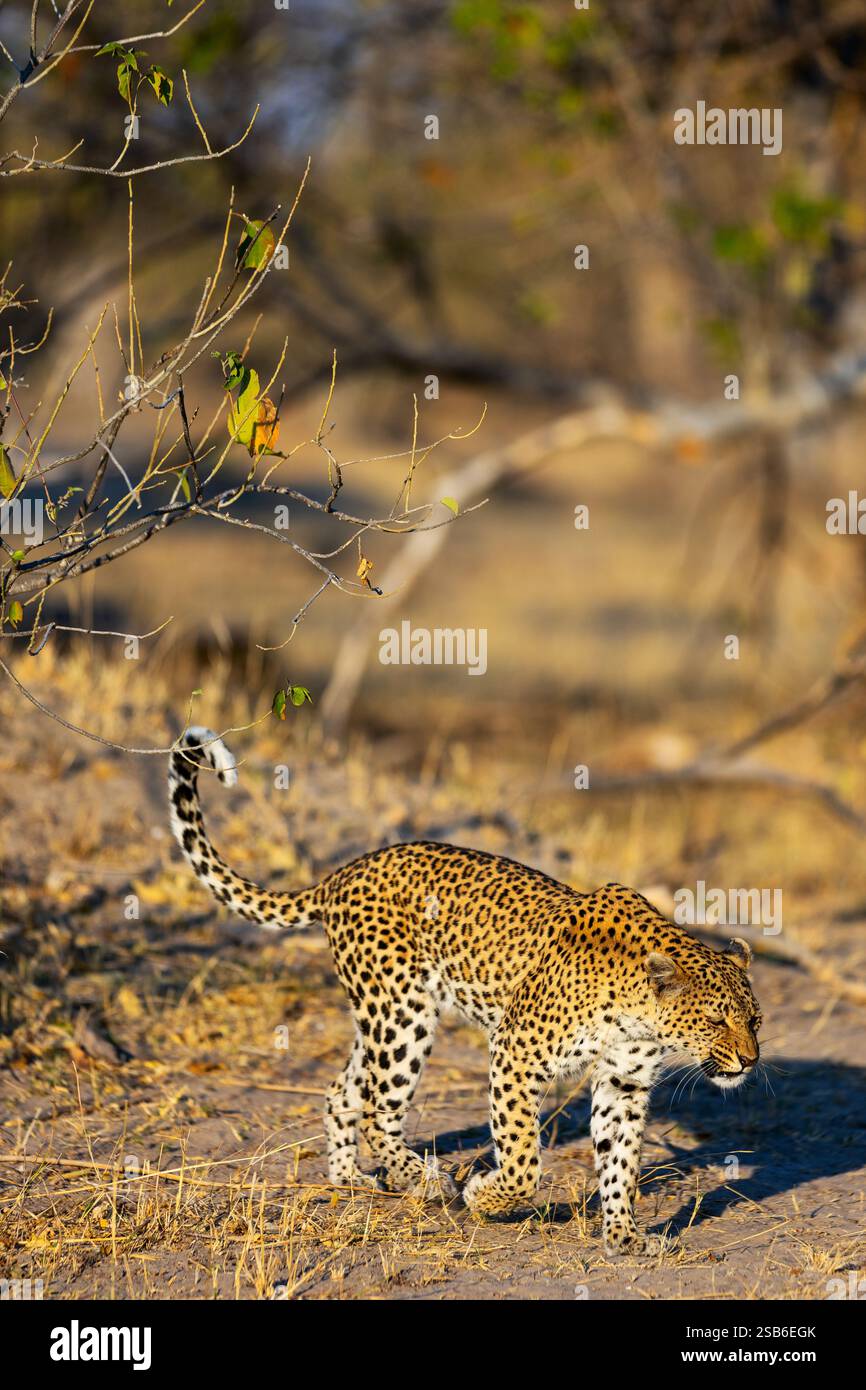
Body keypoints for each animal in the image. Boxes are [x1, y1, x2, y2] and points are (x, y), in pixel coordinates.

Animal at [168, 727, 763, 1254]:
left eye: (754, 1021)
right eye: (716, 1021)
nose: (750, 1060)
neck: (637, 1013)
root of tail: (344, 872)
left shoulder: (624, 1081)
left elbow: (620, 1162)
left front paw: (623, 1235)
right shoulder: (517, 1053)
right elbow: (523, 1158)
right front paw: (486, 1197)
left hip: (379, 1015)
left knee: (344, 1092)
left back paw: (350, 1178)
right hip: (403, 1015)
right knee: (378, 1109)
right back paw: (428, 1181)